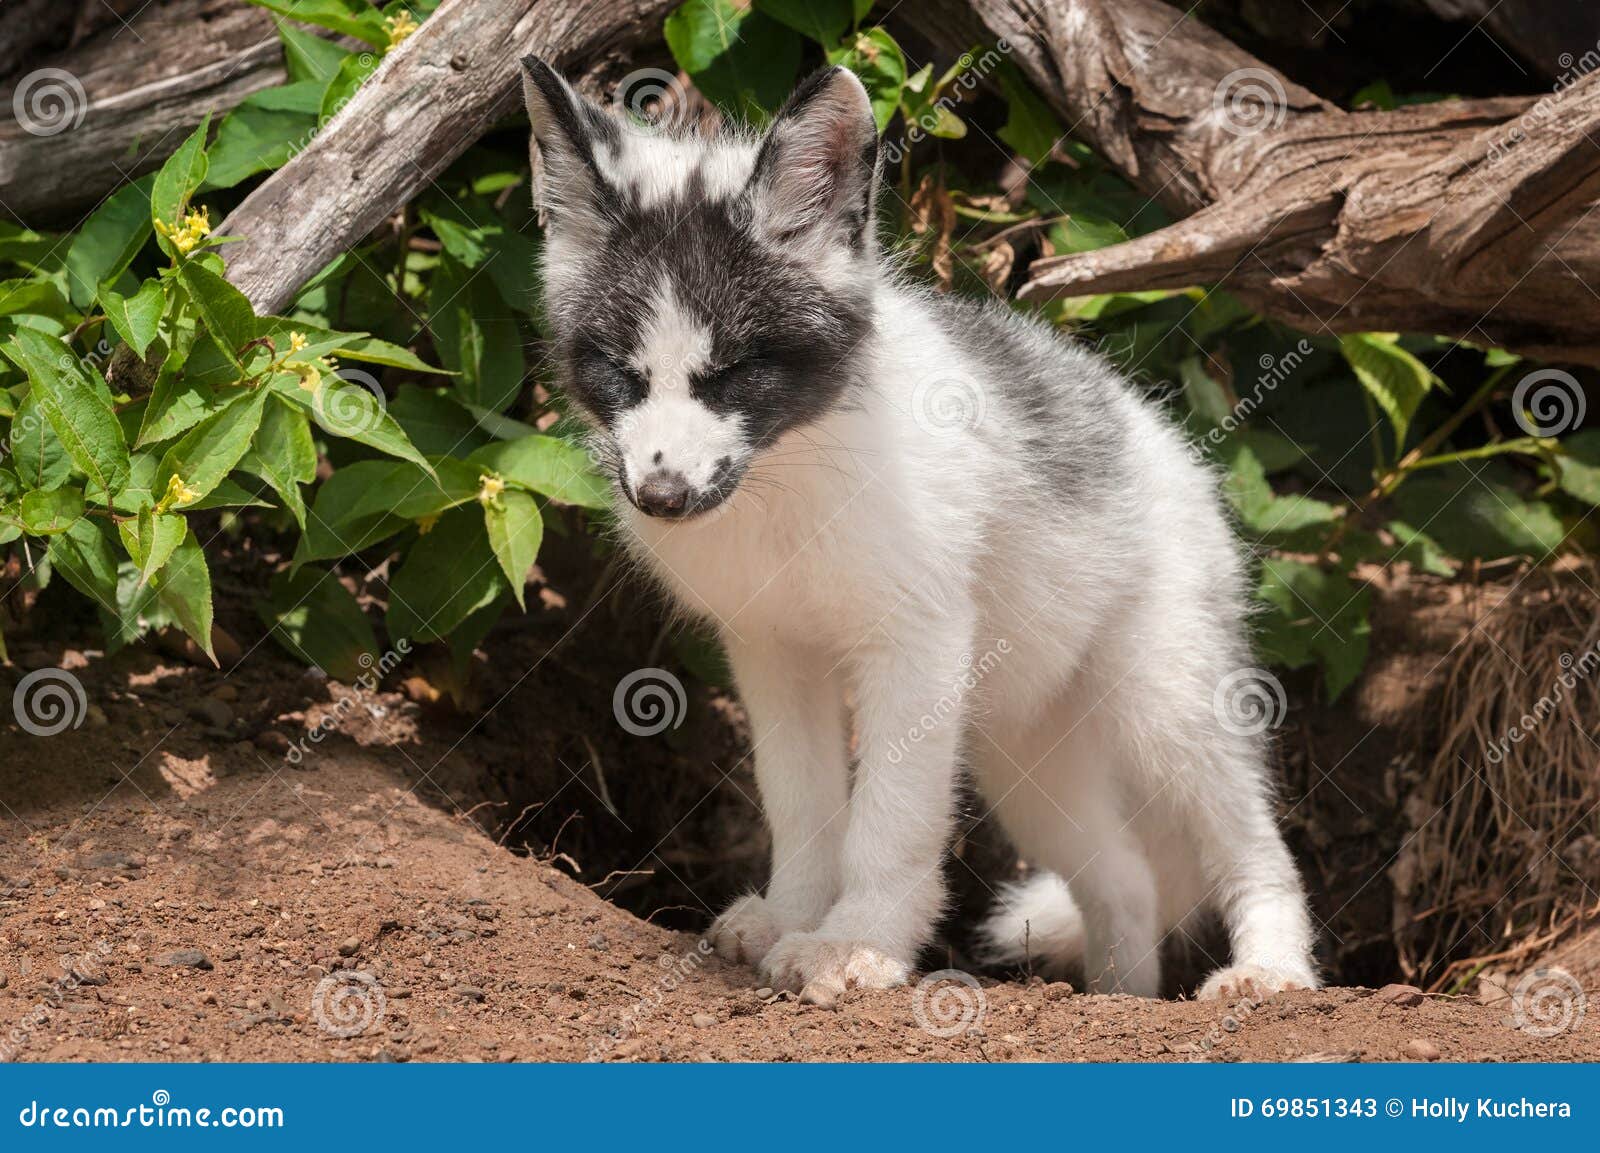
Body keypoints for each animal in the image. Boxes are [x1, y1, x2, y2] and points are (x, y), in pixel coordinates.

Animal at [520, 56, 1319, 1003]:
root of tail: (1163, 438)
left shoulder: (916, 645)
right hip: (1023, 749)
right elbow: (801, 804)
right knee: (1127, 878)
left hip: (1164, 705)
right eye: (621, 372)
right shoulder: (773, 652)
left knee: (1258, 845)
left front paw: (854, 946)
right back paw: (1121, 1000)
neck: (790, 477)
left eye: (737, 371)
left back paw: (1271, 971)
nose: (662, 495)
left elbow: (890, 823)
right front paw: (792, 917)